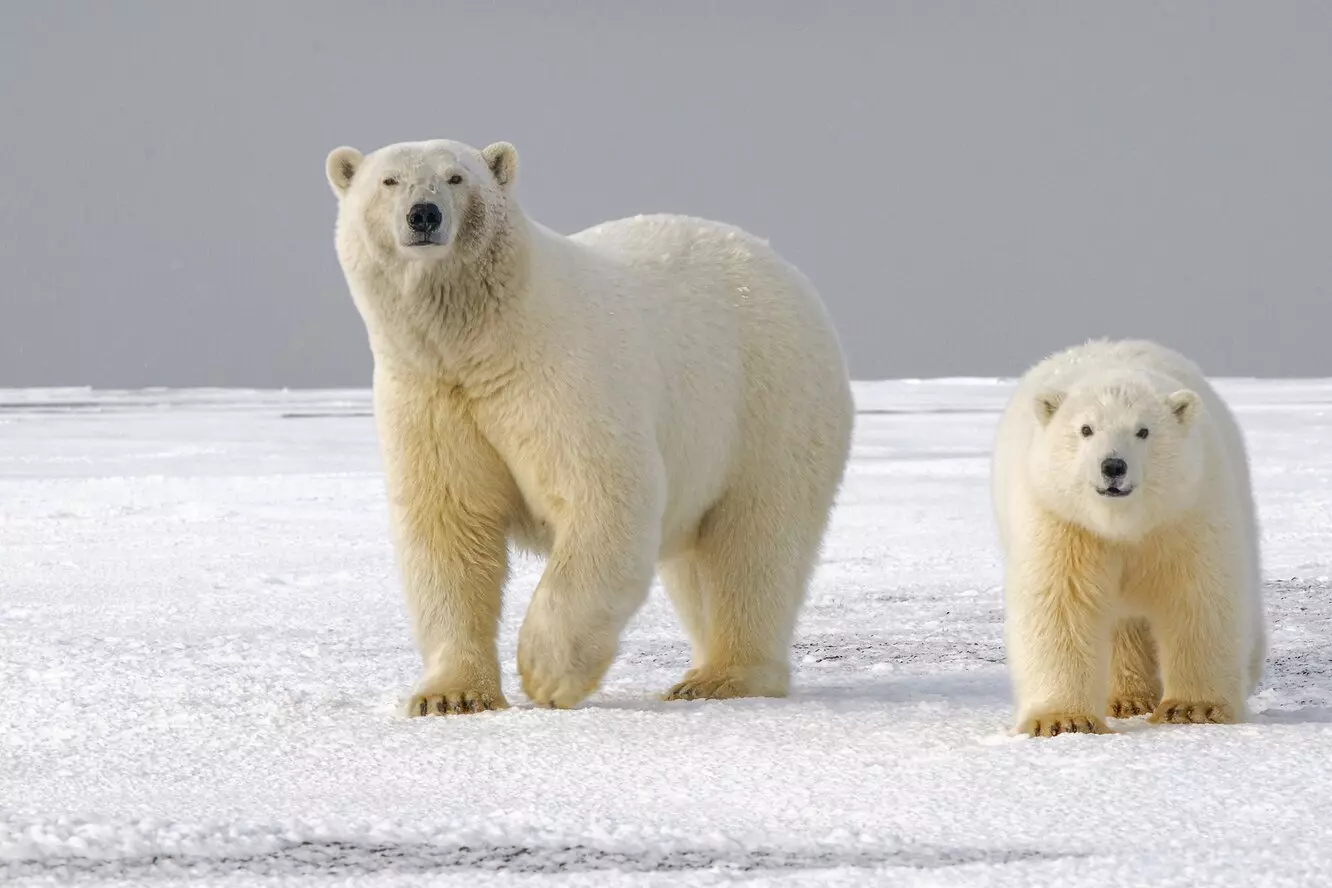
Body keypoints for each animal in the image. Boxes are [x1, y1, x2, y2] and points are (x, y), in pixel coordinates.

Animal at [327, 140, 857, 724]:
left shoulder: (560, 375)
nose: (424, 215)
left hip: (769, 402)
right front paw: (450, 696)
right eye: (389, 181)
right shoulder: (430, 396)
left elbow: (604, 496)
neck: (482, 341)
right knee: (699, 565)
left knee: (755, 543)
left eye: (456, 177)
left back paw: (722, 677)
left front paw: (545, 672)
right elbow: (449, 526)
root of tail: (782, 268)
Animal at [996, 338, 1262, 734]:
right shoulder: (1062, 521)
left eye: (1143, 431)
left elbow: (1199, 597)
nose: (1113, 466)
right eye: (1086, 429)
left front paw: (1192, 708)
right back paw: (1127, 699)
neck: (1124, 524)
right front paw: (1063, 719)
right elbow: (1061, 604)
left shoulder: (1186, 513)